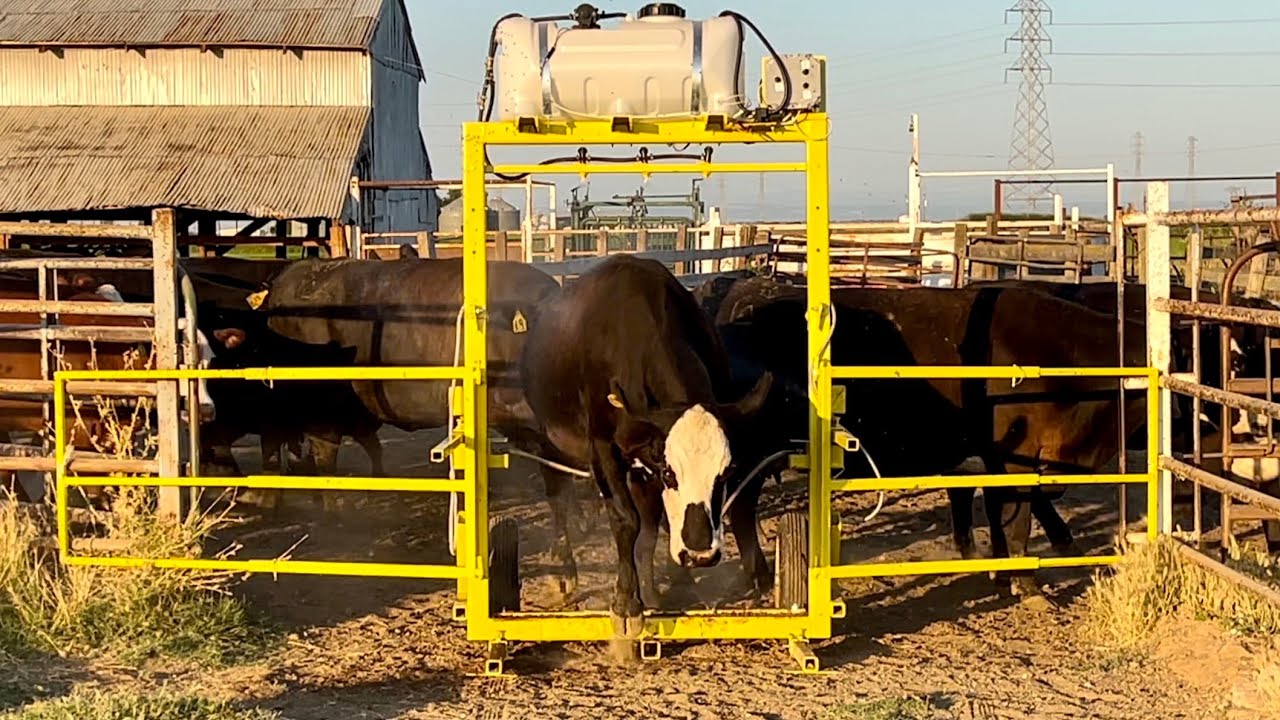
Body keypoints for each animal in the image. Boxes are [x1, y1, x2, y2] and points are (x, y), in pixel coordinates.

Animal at [520, 255, 774, 637]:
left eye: (726, 471)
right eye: (670, 471)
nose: (699, 553)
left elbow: (654, 525)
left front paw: (671, 584)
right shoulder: (604, 448)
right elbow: (625, 519)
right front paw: (627, 601)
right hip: (547, 439)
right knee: (558, 499)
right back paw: (564, 571)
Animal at [696, 276, 1149, 600]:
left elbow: (996, 515)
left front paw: (998, 570)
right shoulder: (1015, 460)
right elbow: (1018, 518)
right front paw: (1027, 582)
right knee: (741, 510)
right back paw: (760, 575)